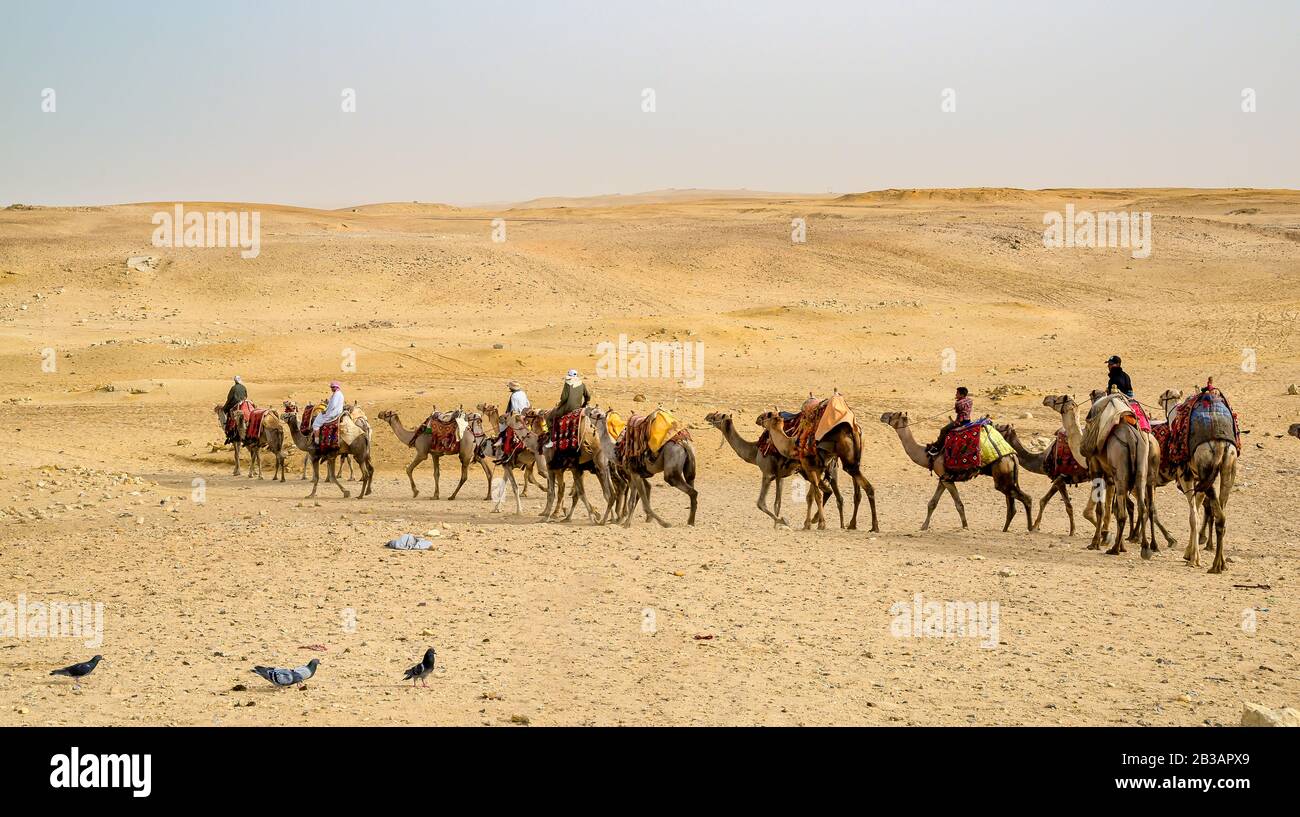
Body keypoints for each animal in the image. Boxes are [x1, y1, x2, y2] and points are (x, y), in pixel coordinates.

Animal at [705, 411, 842, 527]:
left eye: (717, 416)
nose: (708, 416)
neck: (755, 451)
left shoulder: (767, 474)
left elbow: (761, 503)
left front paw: (782, 521)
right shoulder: (780, 476)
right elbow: (778, 503)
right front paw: (778, 524)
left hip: (811, 470)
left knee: (820, 493)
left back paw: (815, 523)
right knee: (828, 491)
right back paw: (818, 521)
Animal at [879, 412, 1030, 532]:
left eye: (893, 414)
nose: (883, 416)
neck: (928, 455)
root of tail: (1012, 455)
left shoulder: (947, 479)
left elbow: (959, 504)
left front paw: (965, 527)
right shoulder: (943, 478)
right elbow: (932, 503)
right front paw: (923, 526)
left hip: (1001, 474)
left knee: (1025, 498)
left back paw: (1031, 528)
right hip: (1008, 476)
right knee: (1012, 505)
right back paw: (1007, 529)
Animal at [1044, 395, 1151, 556]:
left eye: (1059, 399)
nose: (1046, 399)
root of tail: (1131, 438)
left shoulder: (1097, 470)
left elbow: (1101, 509)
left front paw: (1095, 543)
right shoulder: (1110, 477)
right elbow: (1110, 509)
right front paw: (1116, 542)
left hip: (1120, 471)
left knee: (1124, 512)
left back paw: (1115, 549)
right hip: (1141, 468)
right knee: (1142, 506)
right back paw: (1145, 547)